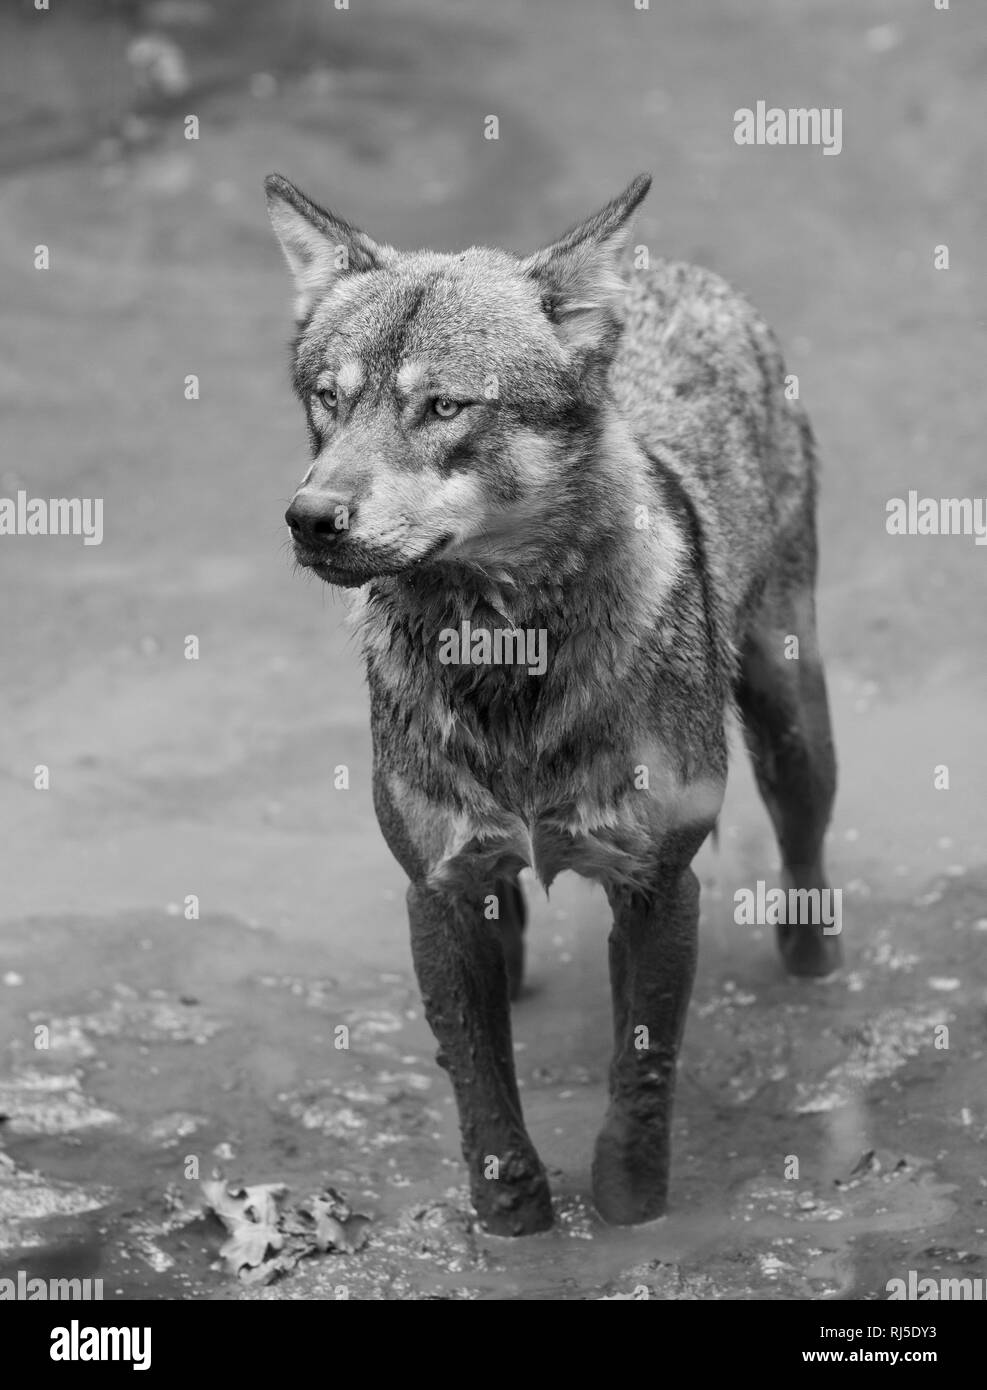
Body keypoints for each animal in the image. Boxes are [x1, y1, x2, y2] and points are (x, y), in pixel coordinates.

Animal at [266, 171, 838, 1236]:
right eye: (330, 398)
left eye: (443, 406)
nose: (310, 518)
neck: (506, 664)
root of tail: (674, 272)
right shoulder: (440, 890)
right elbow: (478, 1079)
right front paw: (513, 1215)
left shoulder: (658, 881)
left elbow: (641, 1068)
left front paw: (627, 1207)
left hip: (791, 722)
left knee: (805, 854)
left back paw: (816, 971)